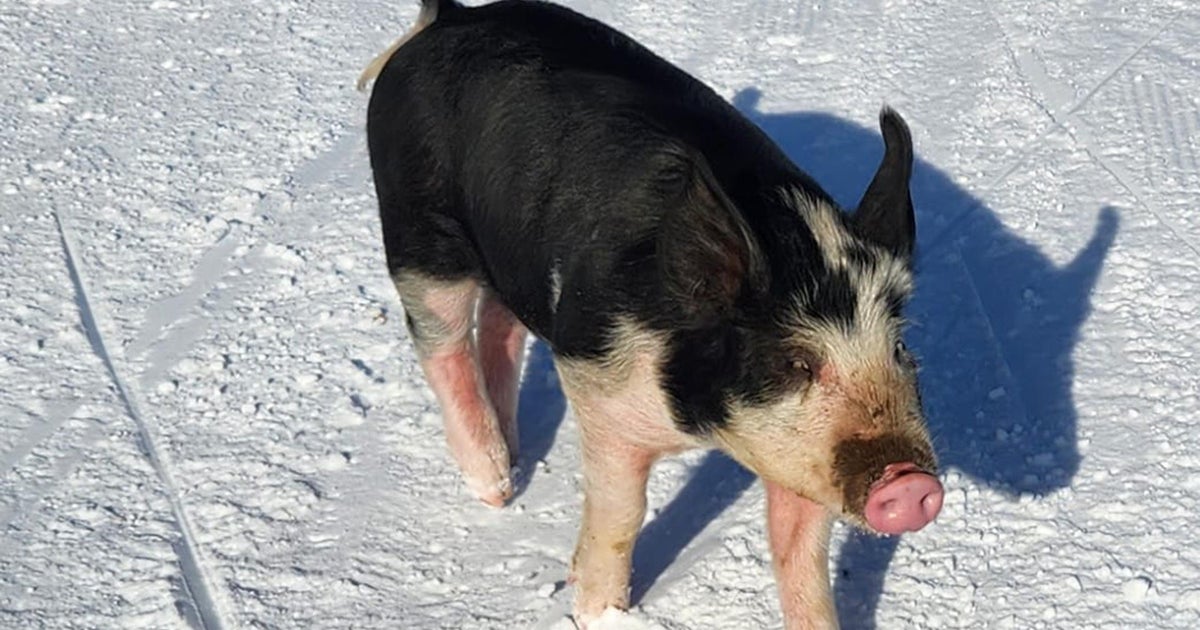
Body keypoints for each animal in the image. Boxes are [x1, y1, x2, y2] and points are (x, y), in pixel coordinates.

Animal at [359, 1, 944, 627]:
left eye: (899, 347)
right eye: (793, 363)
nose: (911, 483)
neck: (700, 423)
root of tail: (451, 18)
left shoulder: (799, 453)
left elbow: (801, 552)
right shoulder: (594, 376)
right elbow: (622, 512)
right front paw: (596, 610)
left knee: (499, 321)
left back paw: (515, 461)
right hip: (417, 231)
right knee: (439, 339)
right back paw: (496, 487)